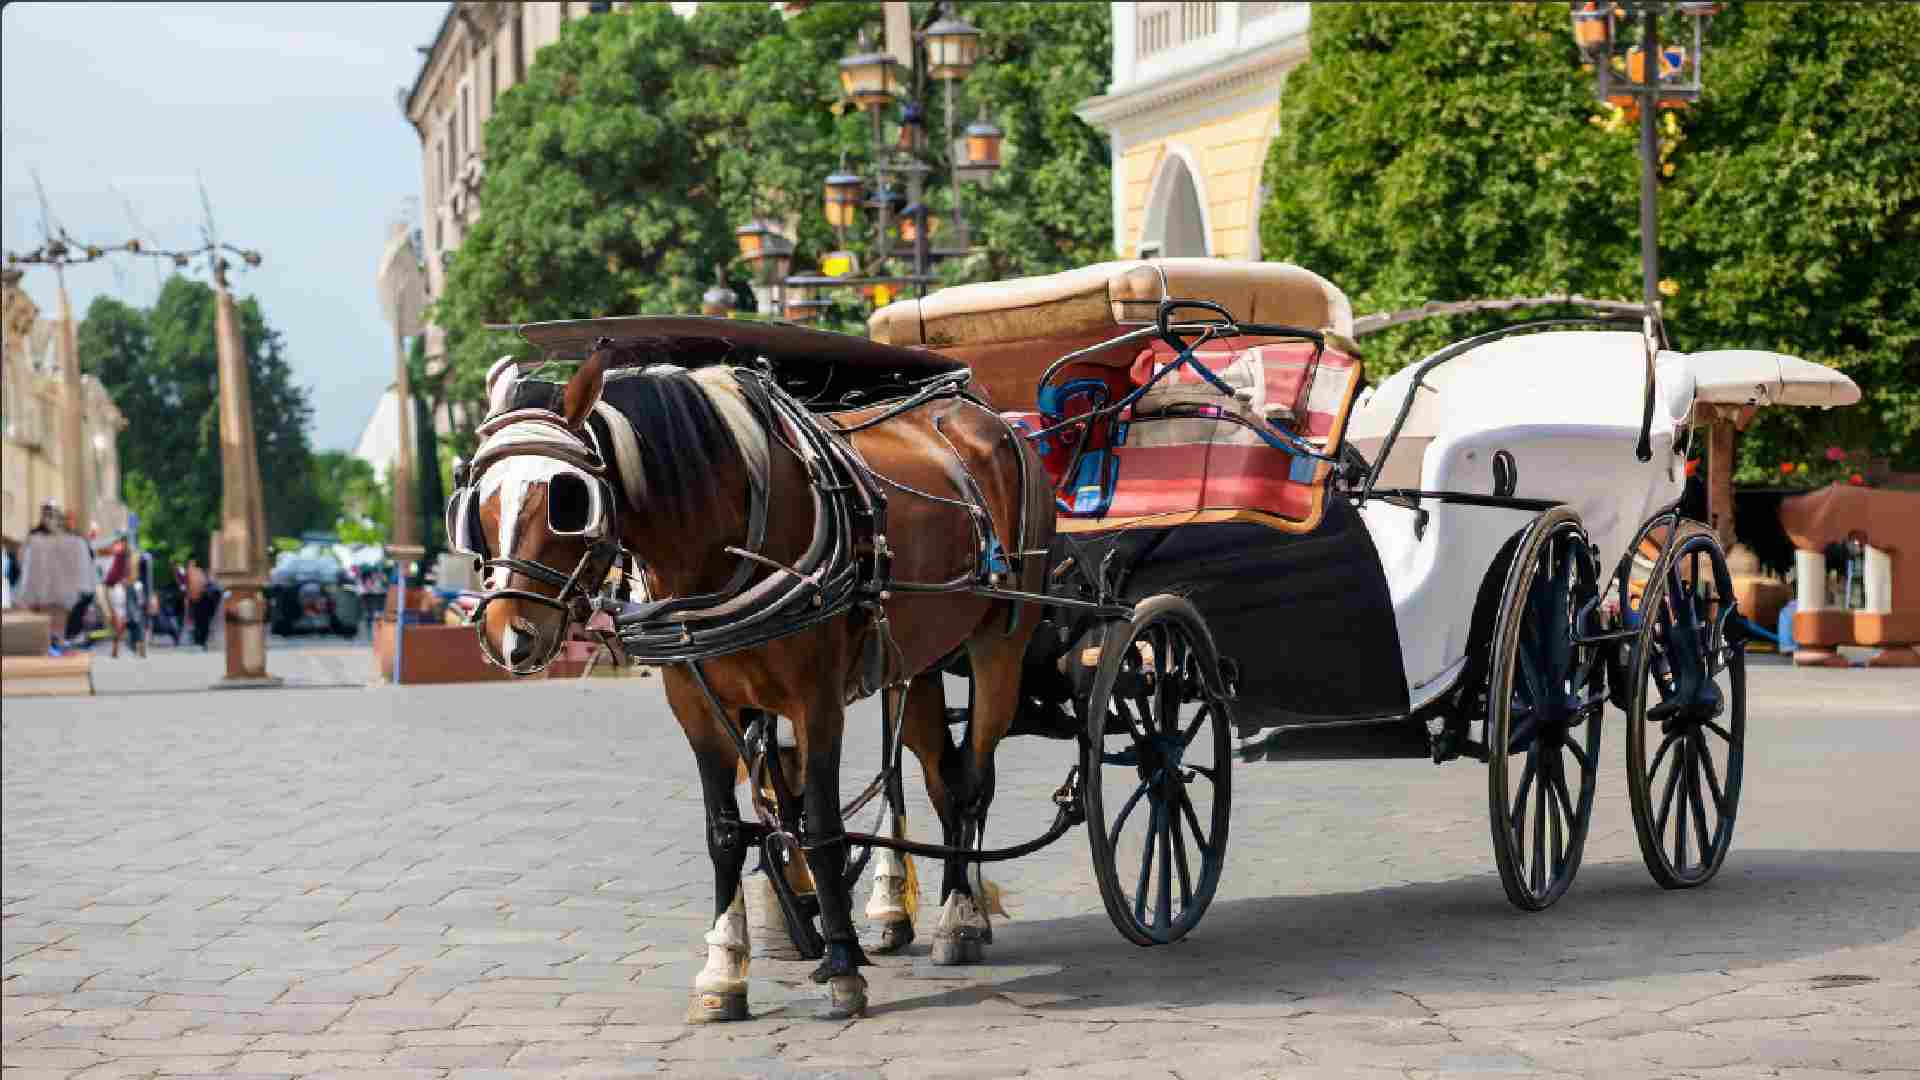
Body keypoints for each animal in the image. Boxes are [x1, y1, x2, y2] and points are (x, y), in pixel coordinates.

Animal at [456, 337, 1055, 1020]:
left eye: (567, 503)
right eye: (479, 503)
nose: (509, 636)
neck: (727, 542)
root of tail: (981, 414)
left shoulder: (816, 701)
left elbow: (819, 826)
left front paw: (842, 966)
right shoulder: (694, 704)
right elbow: (725, 834)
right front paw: (724, 970)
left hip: (1000, 645)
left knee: (974, 780)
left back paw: (961, 915)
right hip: (918, 661)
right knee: (941, 780)